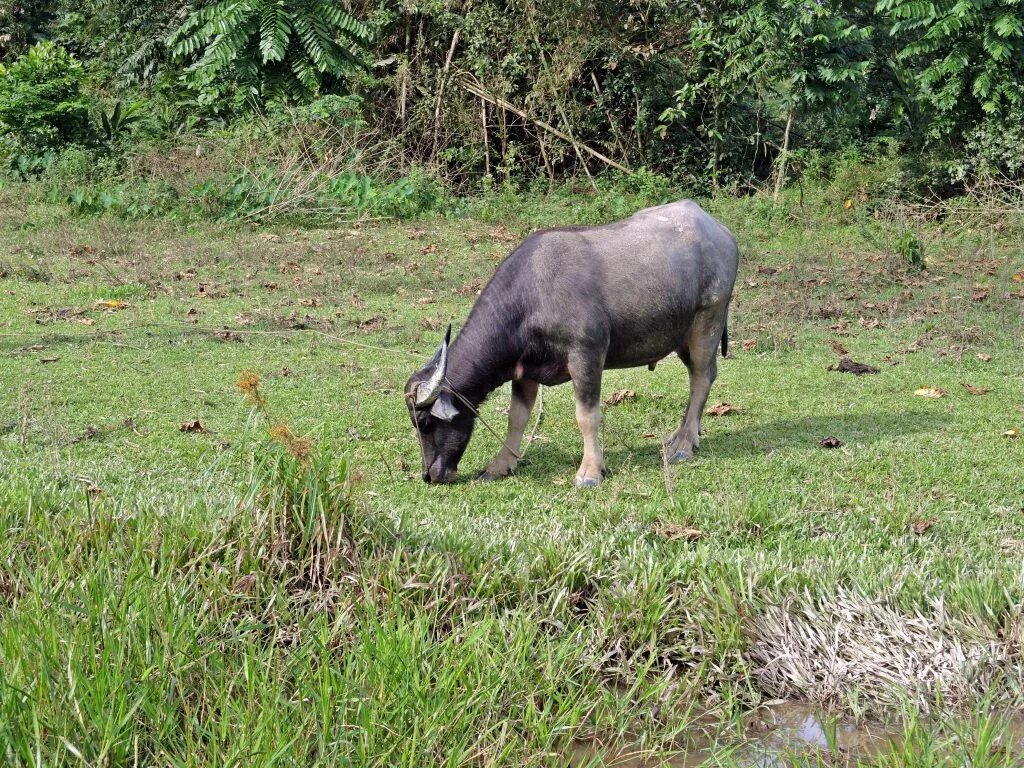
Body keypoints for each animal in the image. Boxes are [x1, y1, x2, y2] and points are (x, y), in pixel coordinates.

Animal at [403, 198, 741, 487]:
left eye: (424, 421)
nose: (430, 475)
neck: (533, 297)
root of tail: (721, 232)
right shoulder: (524, 369)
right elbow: (517, 418)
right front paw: (500, 466)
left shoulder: (586, 355)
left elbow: (587, 416)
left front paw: (590, 471)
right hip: (681, 335)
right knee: (700, 374)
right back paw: (684, 434)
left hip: (708, 319)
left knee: (701, 377)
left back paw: (683, 444)